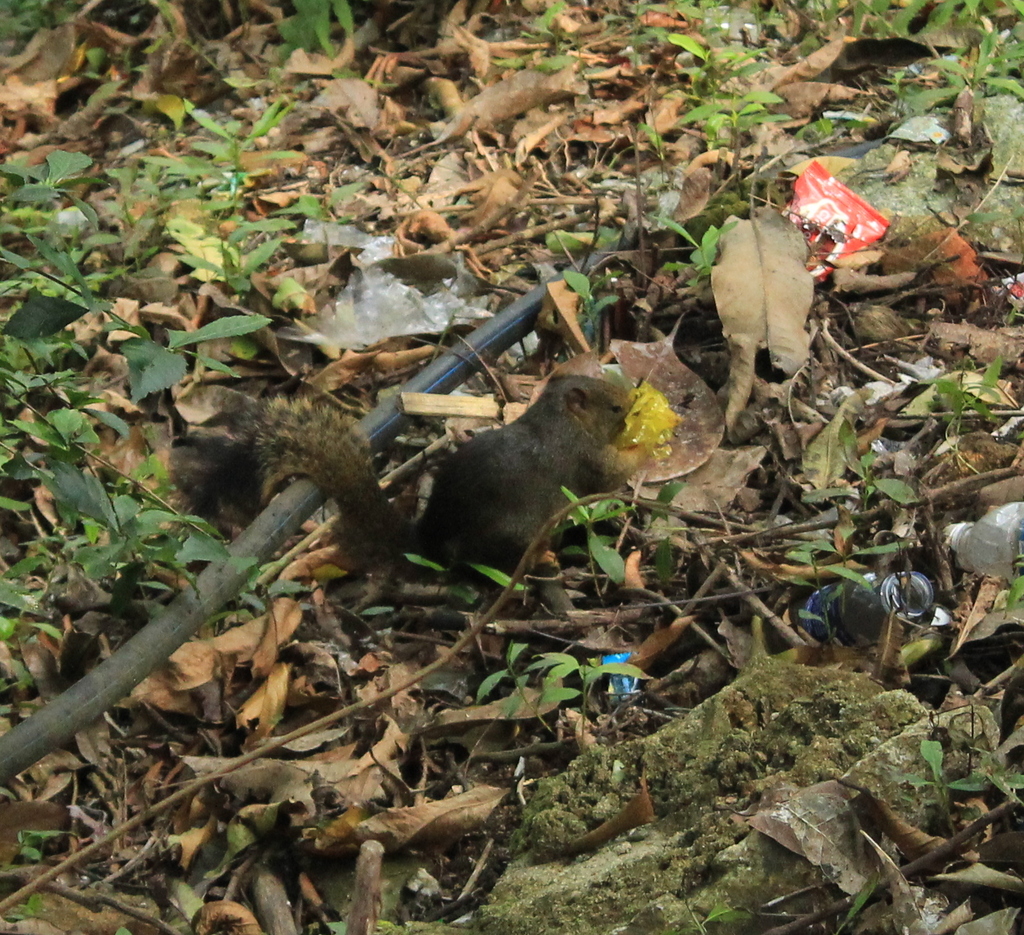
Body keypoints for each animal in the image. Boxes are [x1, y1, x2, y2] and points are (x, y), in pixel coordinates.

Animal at [171, 375, 643, 573]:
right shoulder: (581, 455)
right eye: (614, 407)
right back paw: (539, 559)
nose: (634, 399)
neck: (557, 418)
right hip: (514, 533)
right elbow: (608, 474)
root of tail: (429, 542)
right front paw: (647, 448)